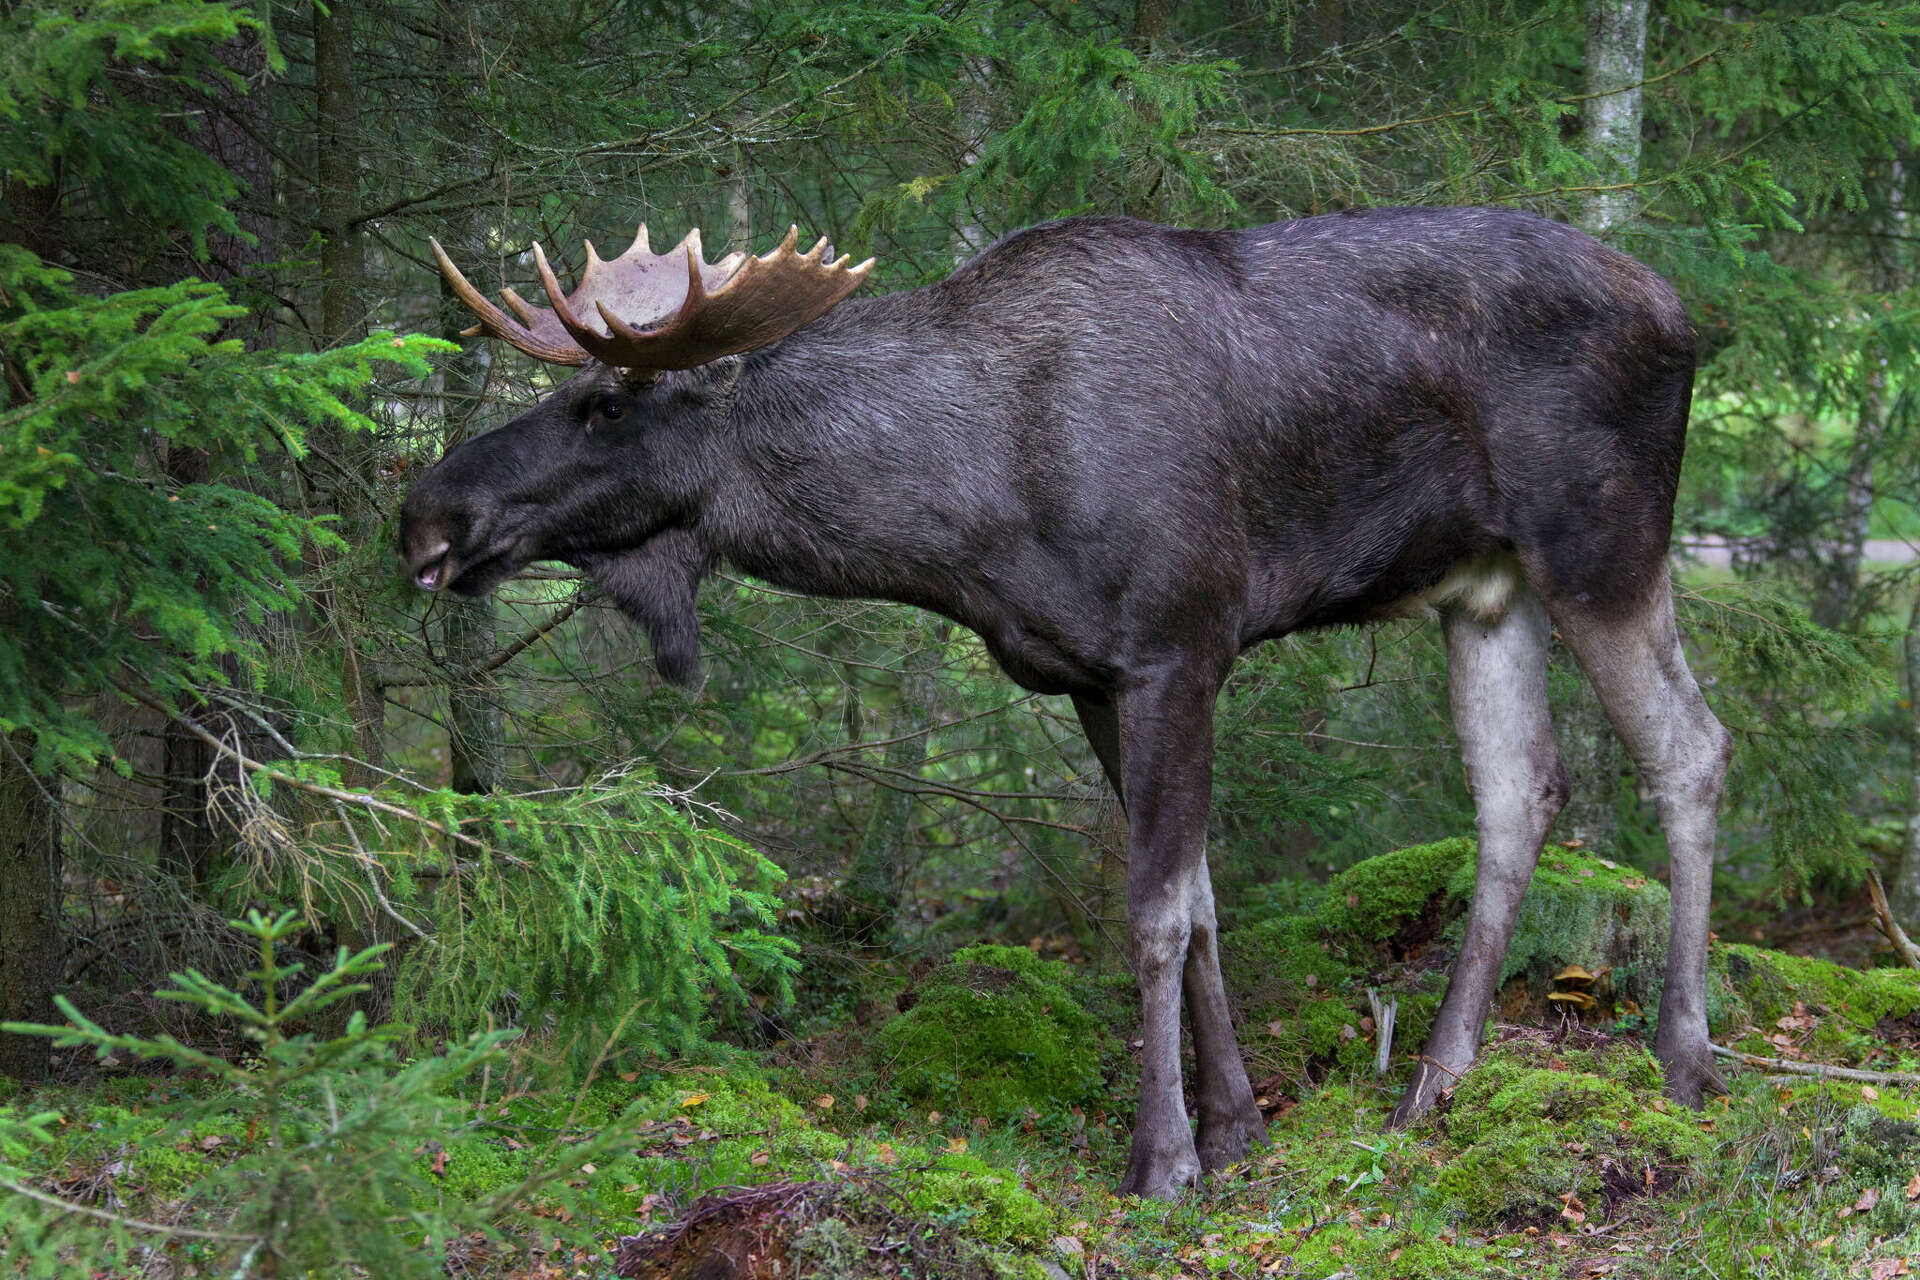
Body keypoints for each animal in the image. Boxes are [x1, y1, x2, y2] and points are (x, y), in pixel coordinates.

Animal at [400, 207, 1731, 1198]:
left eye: (605, 403)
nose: (425, 517)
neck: (963, 514)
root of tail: (1687, 317)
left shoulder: (1178, 645)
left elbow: (1153, 911)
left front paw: (1165, 1157)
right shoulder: (1094, 676)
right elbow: (1202, 900)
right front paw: (1237, 1123)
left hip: (1601, 540)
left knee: (1692, 748)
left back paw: (1684, 1055)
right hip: (1485, 583)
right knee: (1521, 788)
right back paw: (1438, 1077)